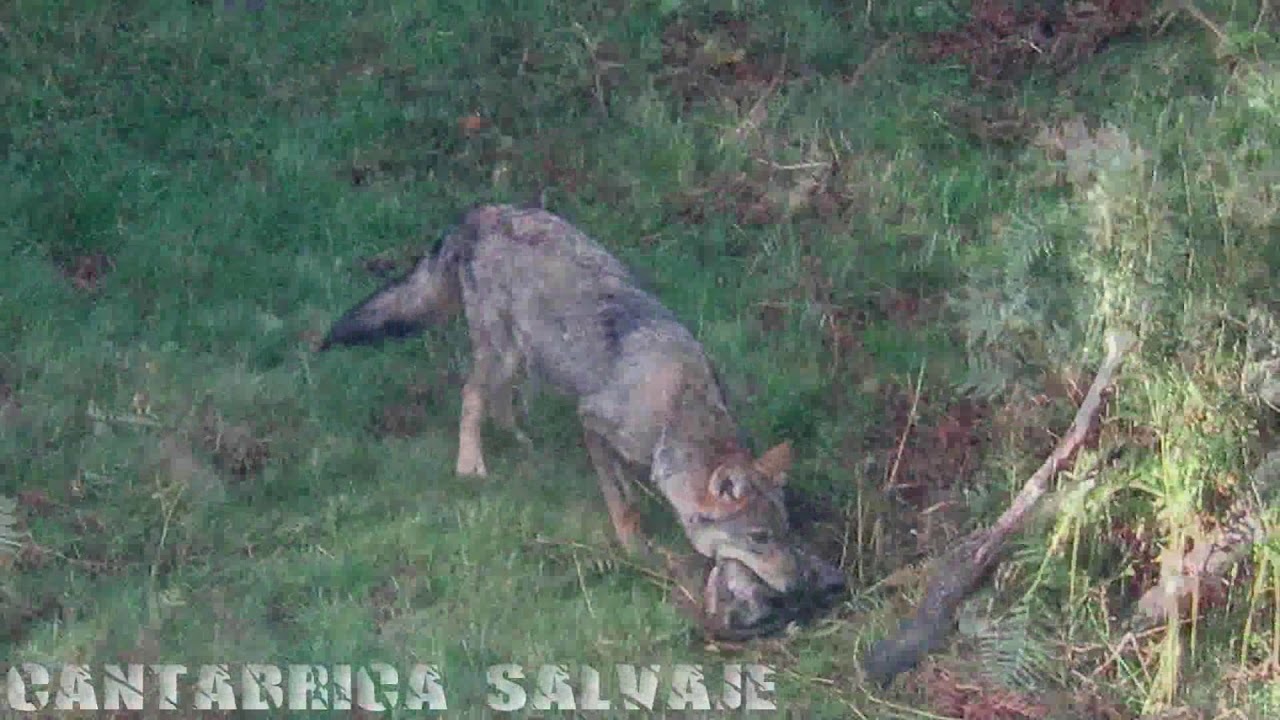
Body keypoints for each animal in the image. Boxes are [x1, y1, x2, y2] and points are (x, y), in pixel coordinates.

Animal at [319, 205, 844, 600]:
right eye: (759, 538)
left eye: (786, 532)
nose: (798, 586)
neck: (676, 410)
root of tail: (481, 213)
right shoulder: (590, 422)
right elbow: (621, 503)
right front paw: (634, 548)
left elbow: (627, 482)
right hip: (501, 353)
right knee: (472, 396)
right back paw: (471, 465)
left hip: (524, 355)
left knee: (500, 402)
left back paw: (522, 441)